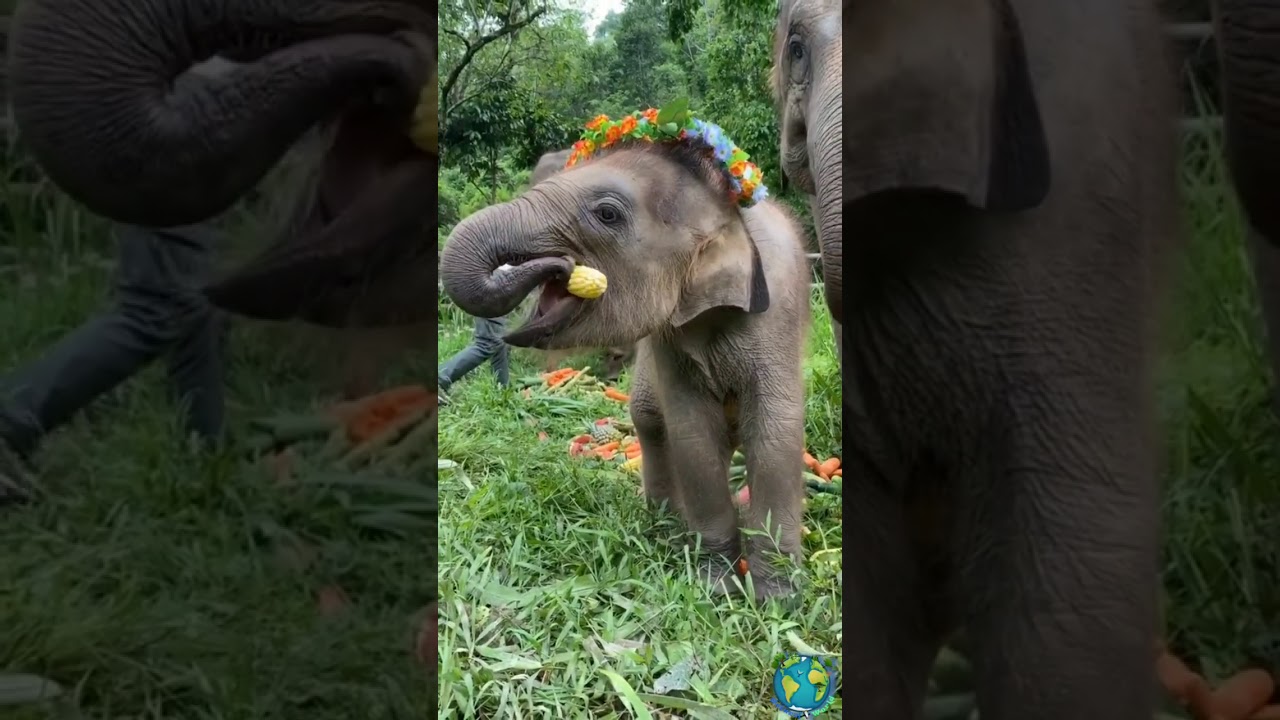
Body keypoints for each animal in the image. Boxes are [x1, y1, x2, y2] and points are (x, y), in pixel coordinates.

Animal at [439, 140, 813, 600]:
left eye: (607, 214)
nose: (558, 265)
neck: (724, 211)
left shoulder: (776, 317)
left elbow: (774, 434)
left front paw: (776, 601)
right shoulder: (672, 340)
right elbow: (693, 434)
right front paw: (715, 586)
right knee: (651, 418)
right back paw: (666, 528)